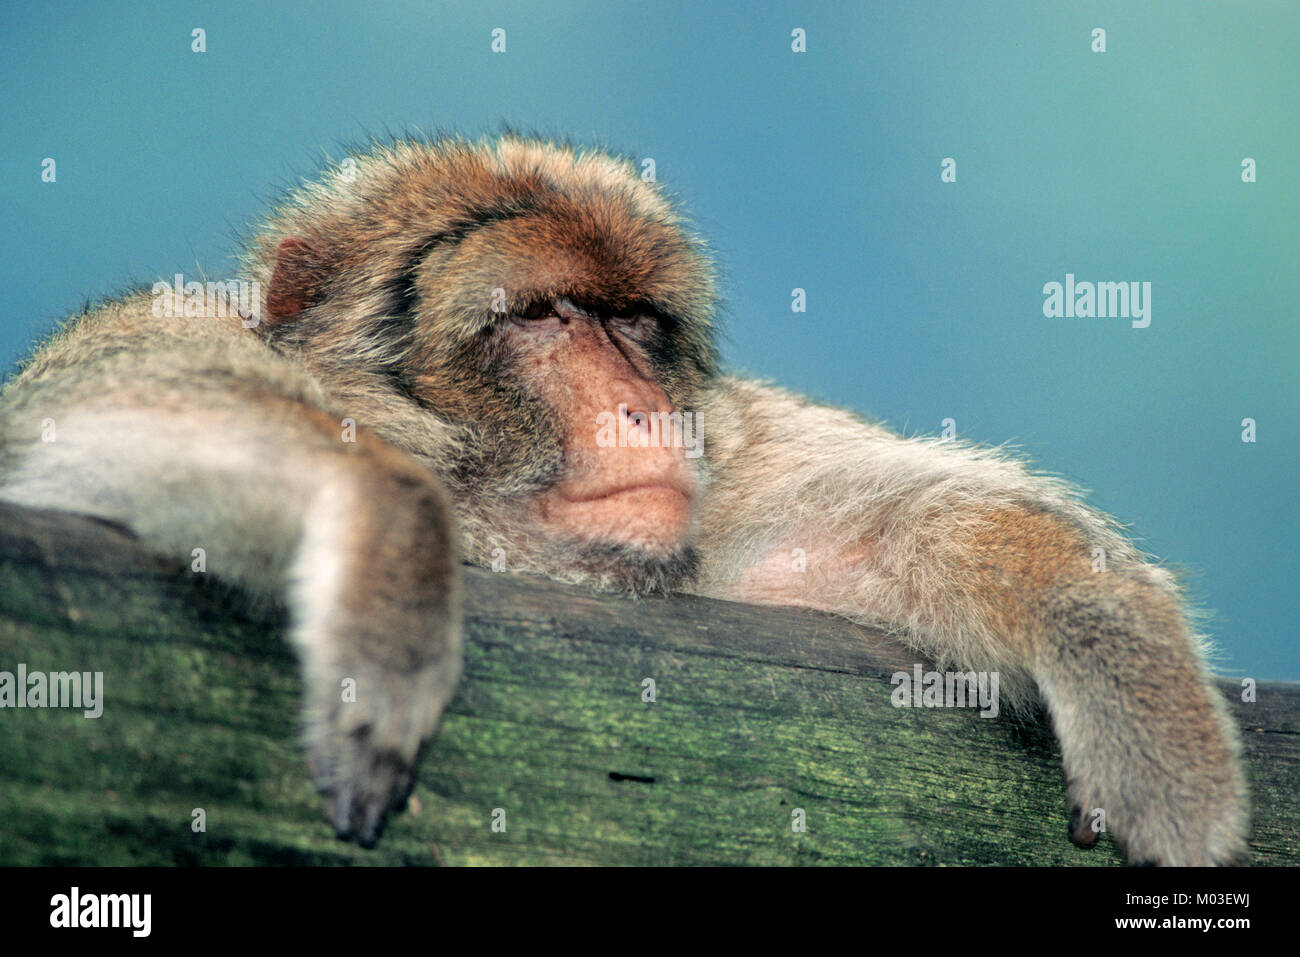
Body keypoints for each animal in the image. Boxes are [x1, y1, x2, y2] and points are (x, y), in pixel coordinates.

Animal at [0, 134, 1246, 864]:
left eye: (634, 323)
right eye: (541, 317)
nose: (646, 412)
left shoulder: (727, 476)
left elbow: (890, 533)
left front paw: (1122, 673)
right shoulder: (175, 331)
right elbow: (77, 418)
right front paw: (390, 554)